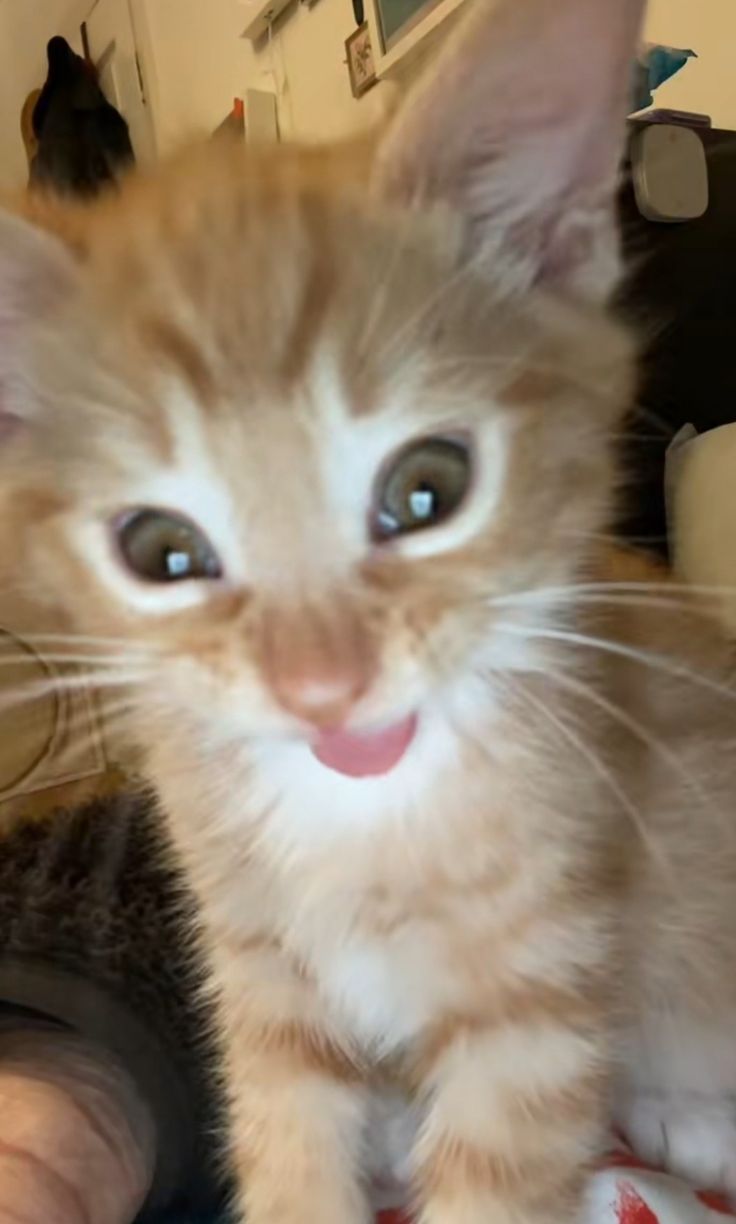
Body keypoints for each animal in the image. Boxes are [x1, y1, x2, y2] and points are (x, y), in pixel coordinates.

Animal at [1, 2, 734, 1224]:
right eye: (161, 552)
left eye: (427, 489)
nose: (323, 690)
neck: (362, 826)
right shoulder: (258, 969)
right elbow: (286, 1131)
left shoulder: (539, 985)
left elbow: (497, 1171)